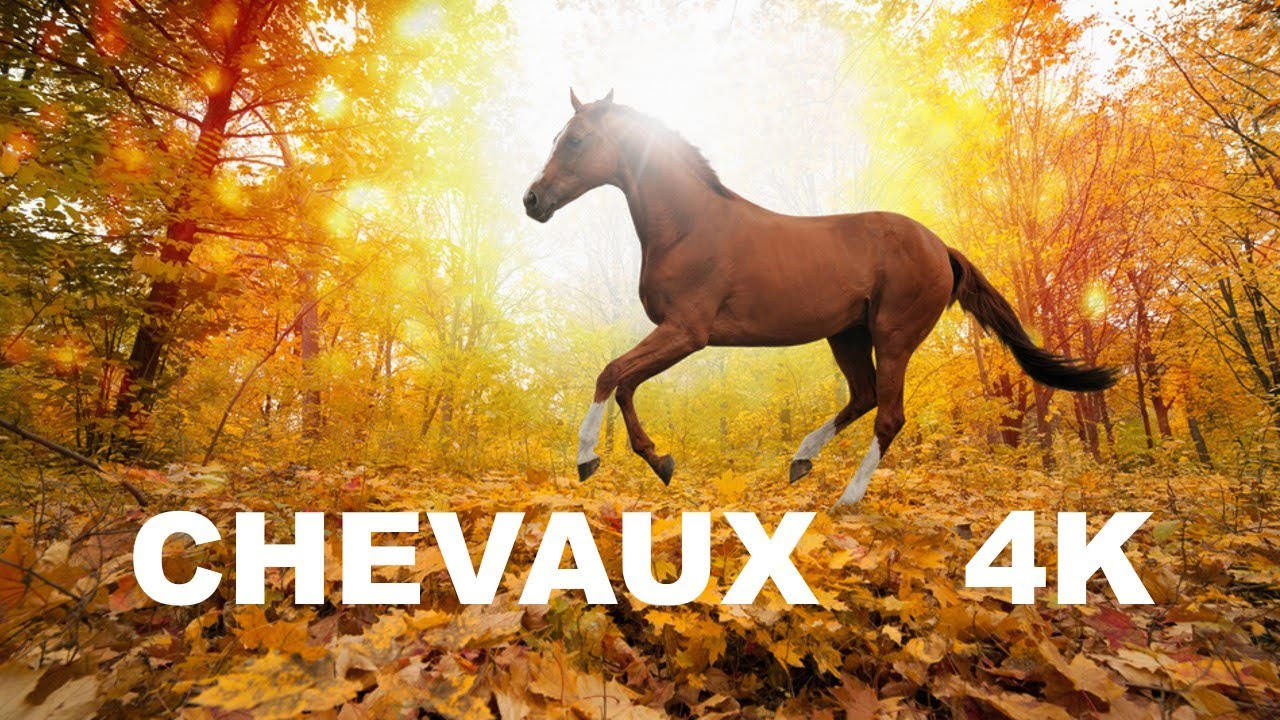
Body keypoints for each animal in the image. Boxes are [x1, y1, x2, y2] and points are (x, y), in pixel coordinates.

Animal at [523, 90, 1117, 509]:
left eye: (575, 139)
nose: (532, 201)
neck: (688, 226)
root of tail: (941, 247)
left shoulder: (687, 333)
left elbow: (611, 374)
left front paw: (587, 458)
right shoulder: (678, 335)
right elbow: (625, 383)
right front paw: (659, 461)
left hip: (893, 336)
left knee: (889, 415)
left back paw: (845, 499)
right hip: (846, 335)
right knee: (864, 396)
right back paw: (801, 460)